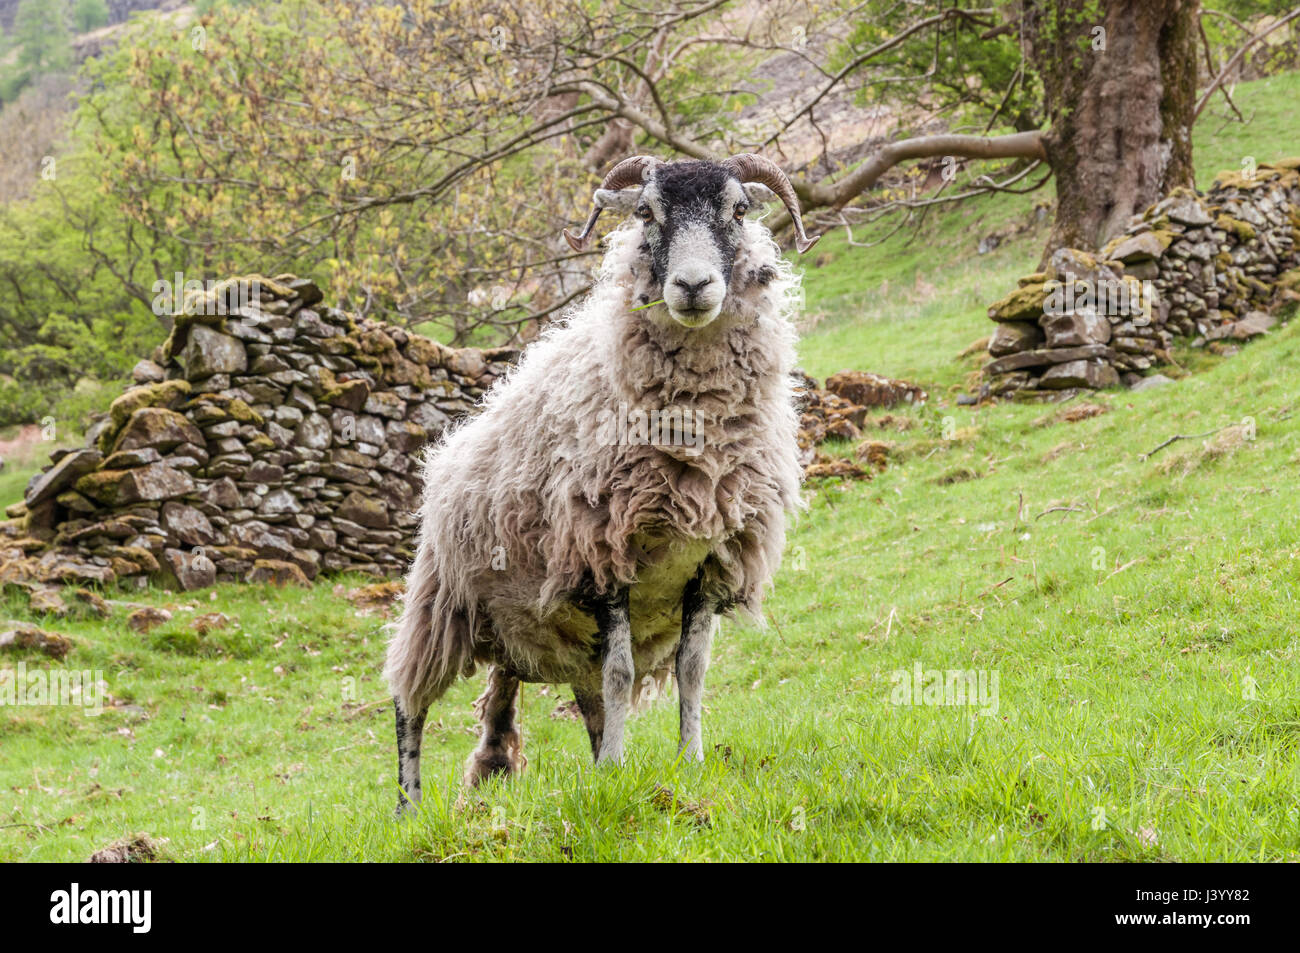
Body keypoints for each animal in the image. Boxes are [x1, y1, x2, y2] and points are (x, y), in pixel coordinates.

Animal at [385, 153, 820, 812]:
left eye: (740, 210)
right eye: (645, 211)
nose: (694, 286)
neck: (693, 440)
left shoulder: (706, 564)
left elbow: (691, 672)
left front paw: (687, 761)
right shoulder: (602, 556)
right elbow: (620, 674)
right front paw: (618, 768)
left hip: (541, 630)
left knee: (555, 694)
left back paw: (571, 760)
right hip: (440, 601)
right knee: (410, 701)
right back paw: (409, 806)